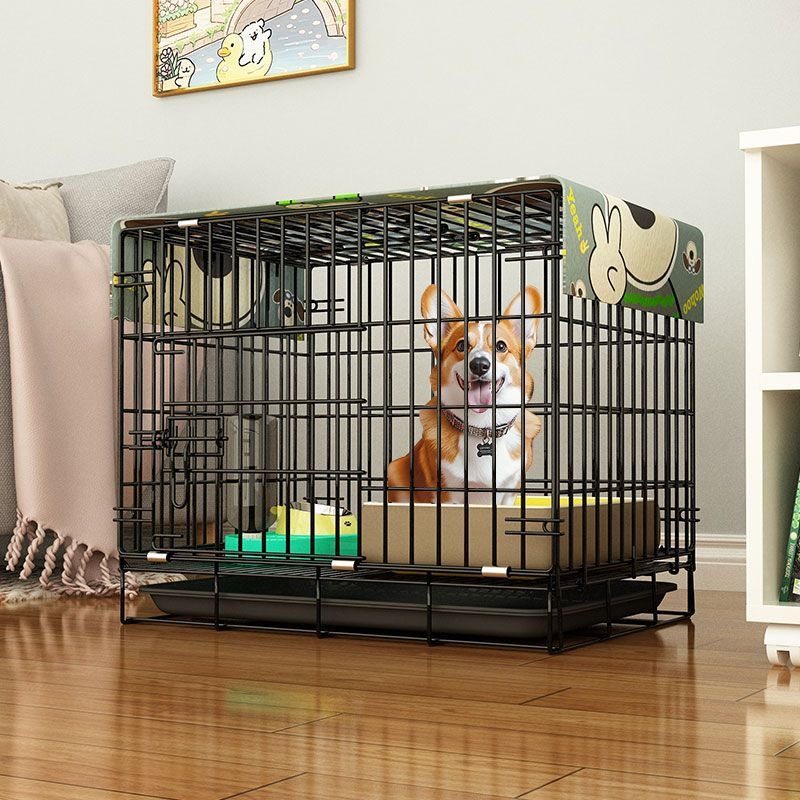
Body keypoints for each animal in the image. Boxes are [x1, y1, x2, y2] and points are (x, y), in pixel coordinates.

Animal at [388, 284, 543, 506]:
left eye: (501, 346)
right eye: (461, 345)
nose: (479, 365)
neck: (482, 427)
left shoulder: (509, 492)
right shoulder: (448, 496)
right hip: (395, 473)